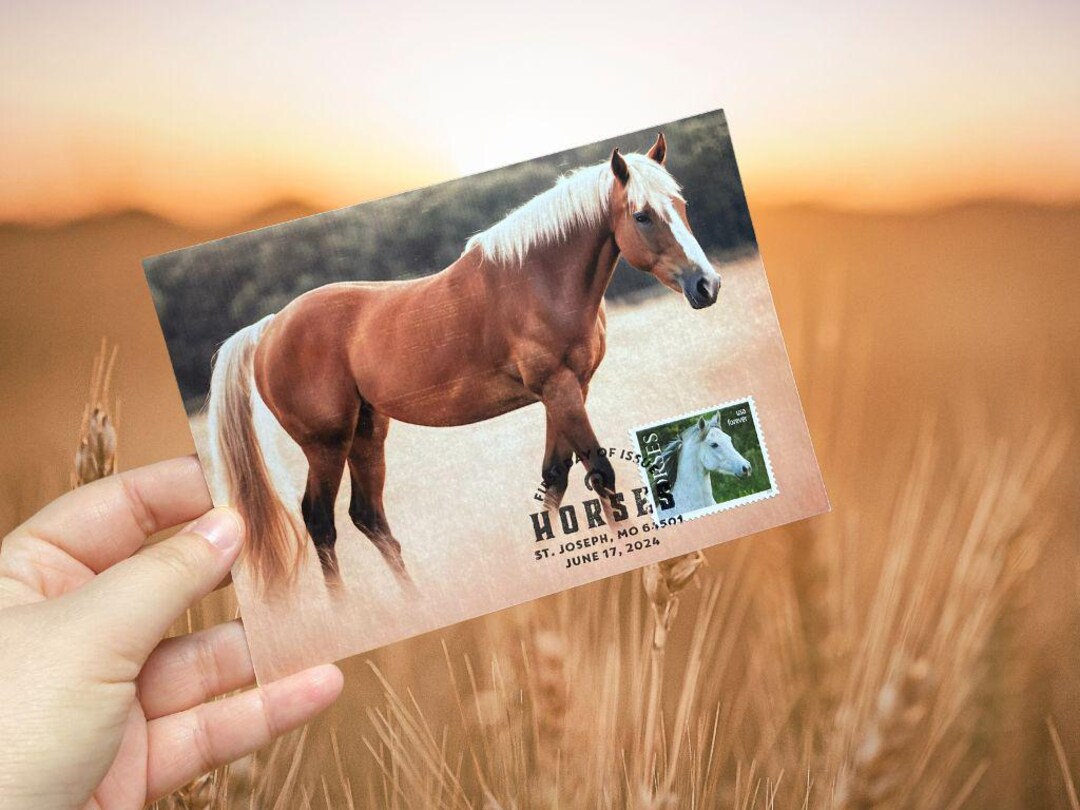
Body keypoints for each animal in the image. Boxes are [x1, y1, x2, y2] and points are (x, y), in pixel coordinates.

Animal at [207, 132, 723, 594]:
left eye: (680, 205)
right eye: (642, 215)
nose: (707, 285)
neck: (537, 280)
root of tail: (269, 328)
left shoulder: (568, 391)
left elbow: (555, 479)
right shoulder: (559, 390)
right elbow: (600, 475)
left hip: (366, 433)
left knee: (368, 518)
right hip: (326, 445)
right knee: (321, 522)